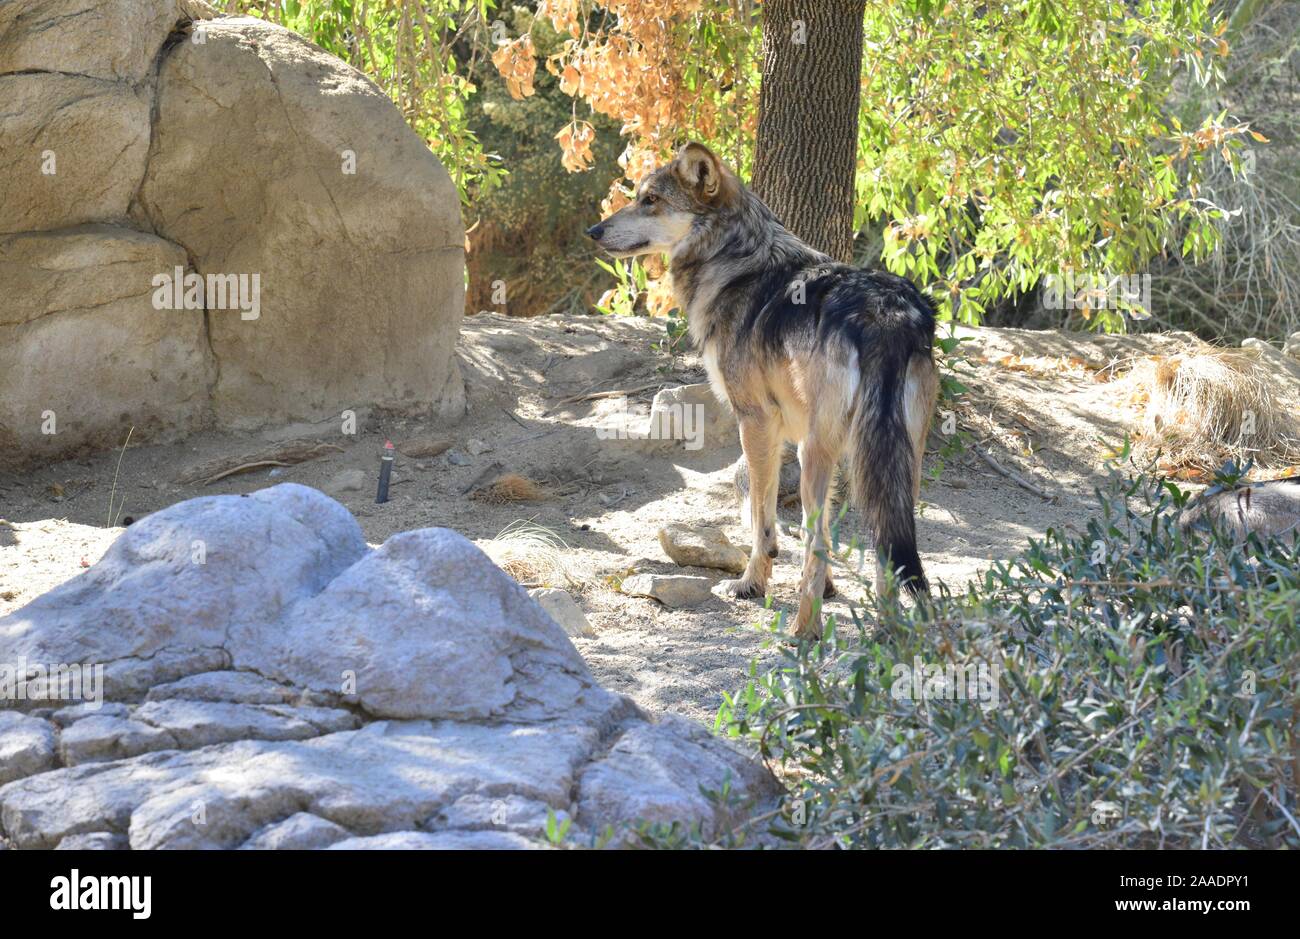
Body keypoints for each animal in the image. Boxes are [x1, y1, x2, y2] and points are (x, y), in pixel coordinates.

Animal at [588, 142, 939, 638]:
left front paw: (752, 584)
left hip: (817, 453)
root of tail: (887, 314)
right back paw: (887, 635)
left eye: (650, 200)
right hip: (892, 461)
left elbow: (761, 520)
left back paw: (804, 632)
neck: (736, 262)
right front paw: (829, 589)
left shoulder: (755, 421)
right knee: (889, 545)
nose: (593, 230)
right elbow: (821, 530)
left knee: (816, 543)